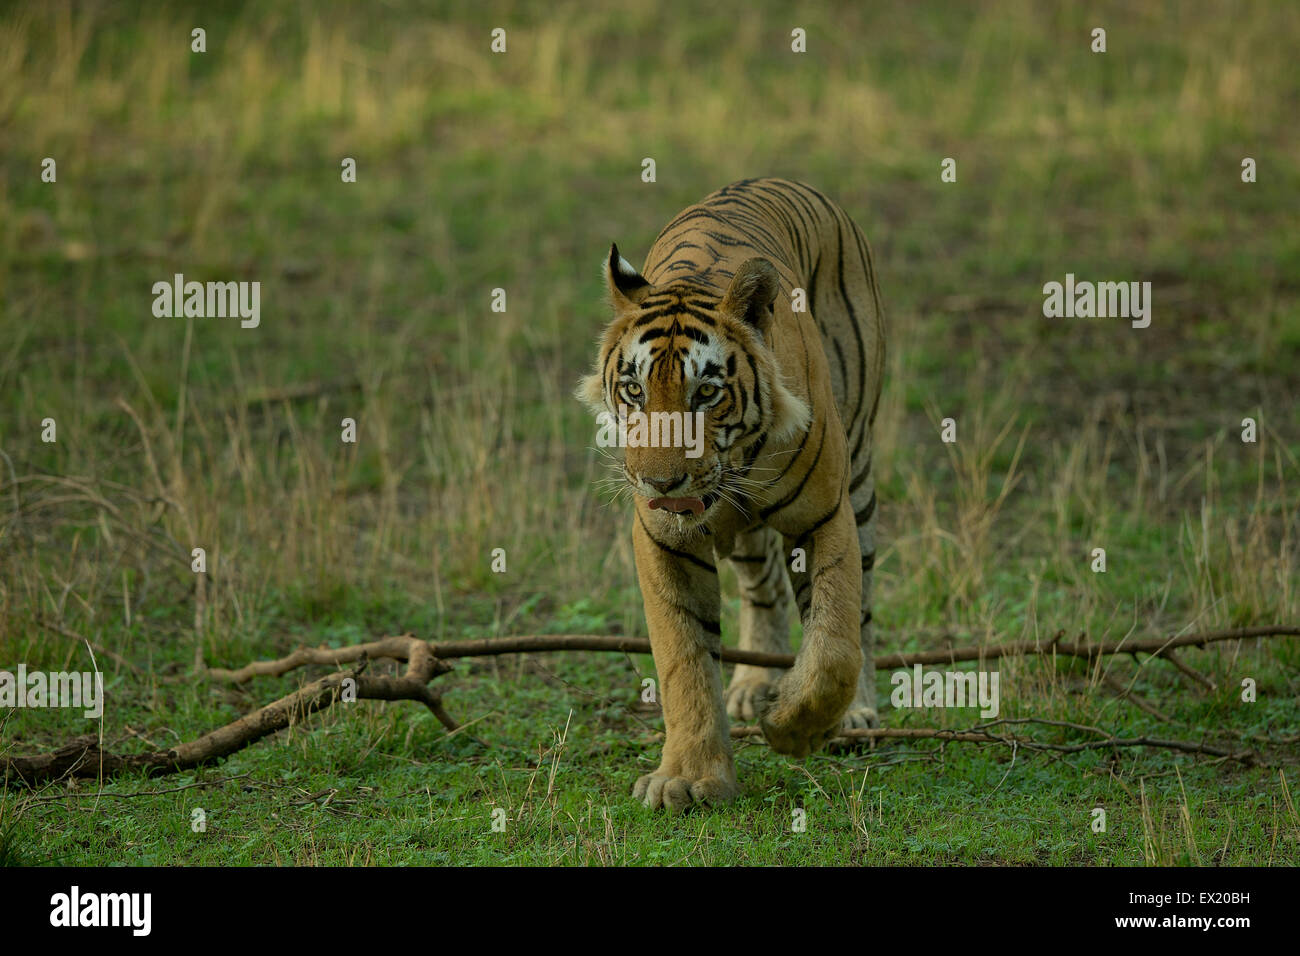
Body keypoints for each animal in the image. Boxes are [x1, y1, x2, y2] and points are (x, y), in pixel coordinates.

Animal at [577, 178, 886, 811]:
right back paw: (751, 686)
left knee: (863, 610)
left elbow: (834, 644)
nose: (659, 483)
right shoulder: (664, 540)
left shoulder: (825, 516)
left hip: (862, 468)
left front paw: (794, 730)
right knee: (761, 588)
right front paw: (687, 777)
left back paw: (857, 714)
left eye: (706, 392)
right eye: (633, 390)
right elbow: (684, 657)